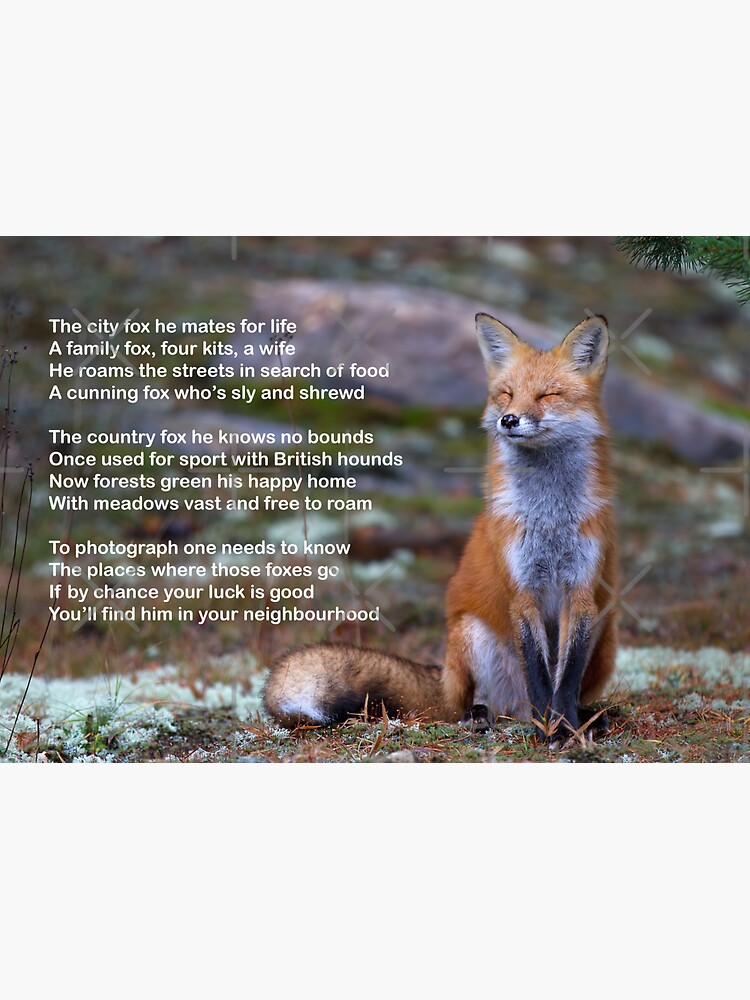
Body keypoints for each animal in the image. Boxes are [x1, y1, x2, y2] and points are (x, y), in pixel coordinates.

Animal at [263, 312, 618, 741]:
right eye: (506, 393)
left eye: (547, 395)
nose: (509, 420)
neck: (548, 517)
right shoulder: (522, 591)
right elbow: (539, 673)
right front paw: (548, 730)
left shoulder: (580, 591)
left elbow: (563, 679)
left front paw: (566, 729)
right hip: (470, 633)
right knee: (478, 703)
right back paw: (485, 716)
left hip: (603, 624)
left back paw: (588, 715)